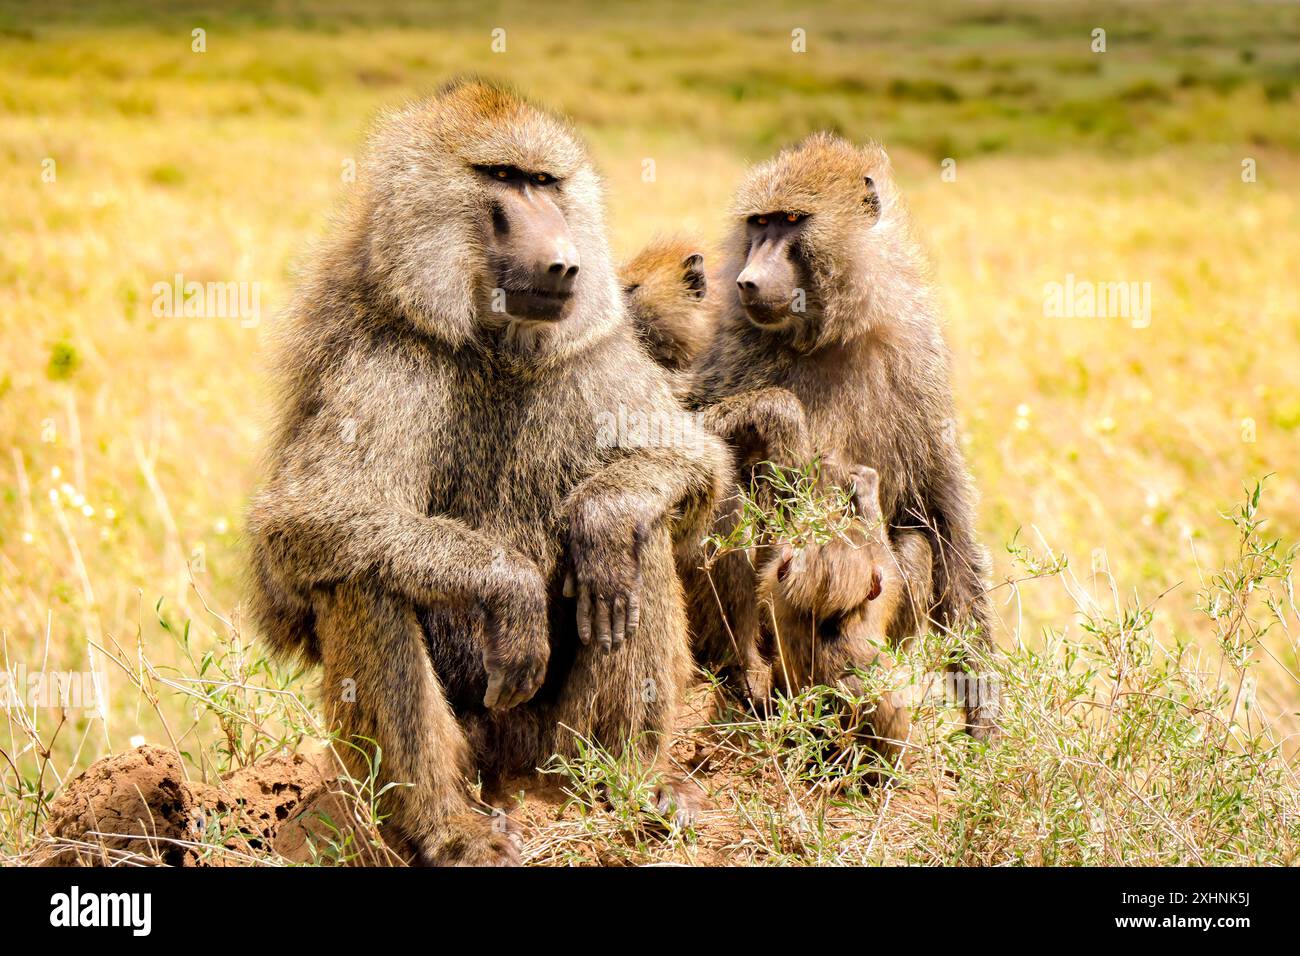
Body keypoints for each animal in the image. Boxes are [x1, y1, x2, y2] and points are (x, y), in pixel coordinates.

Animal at [246, 79, 730, 866]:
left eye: (545, 182)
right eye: (501, 178)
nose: (563, 261)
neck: (492, 344)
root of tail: (512, 778)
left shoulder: (597, 343)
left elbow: (690, 466)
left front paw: (603, 520)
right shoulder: (385, 359)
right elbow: (305, 517)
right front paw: (509, 587)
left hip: (550, 750)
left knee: (638, 538)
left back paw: (632, 780)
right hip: (461, 750)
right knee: (361, 578)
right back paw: (447, 828)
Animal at [688, 132, 999, 740]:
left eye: (791, 220)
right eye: (758, 223)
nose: (747, 279)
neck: (833, 334)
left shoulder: (916, 359)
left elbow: (946, 519)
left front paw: (988, 724)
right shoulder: (734, 343)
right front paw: (784, 423)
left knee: (915, 540)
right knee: (725, 484)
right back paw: (745, 670)